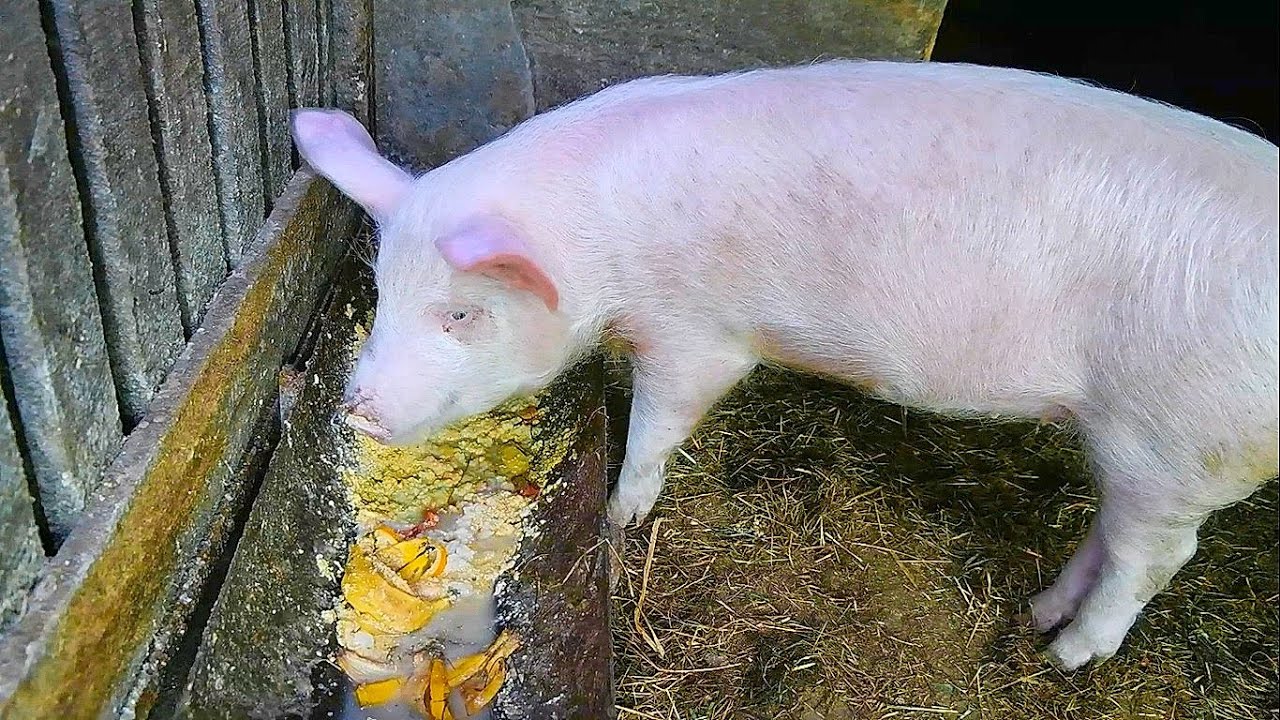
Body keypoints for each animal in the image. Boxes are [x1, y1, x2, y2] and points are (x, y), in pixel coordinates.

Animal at [290, 60, 1278, 671]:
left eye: (462, 313)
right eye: (380, 292)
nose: (360, 407)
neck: (600, 244)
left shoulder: (698, 335)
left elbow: (660, 425)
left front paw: (616, 515)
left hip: (1179, 438)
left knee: (1161, 554)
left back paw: (1065, 658)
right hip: (1133, 445)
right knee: (1113, 533)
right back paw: (1036, 616)